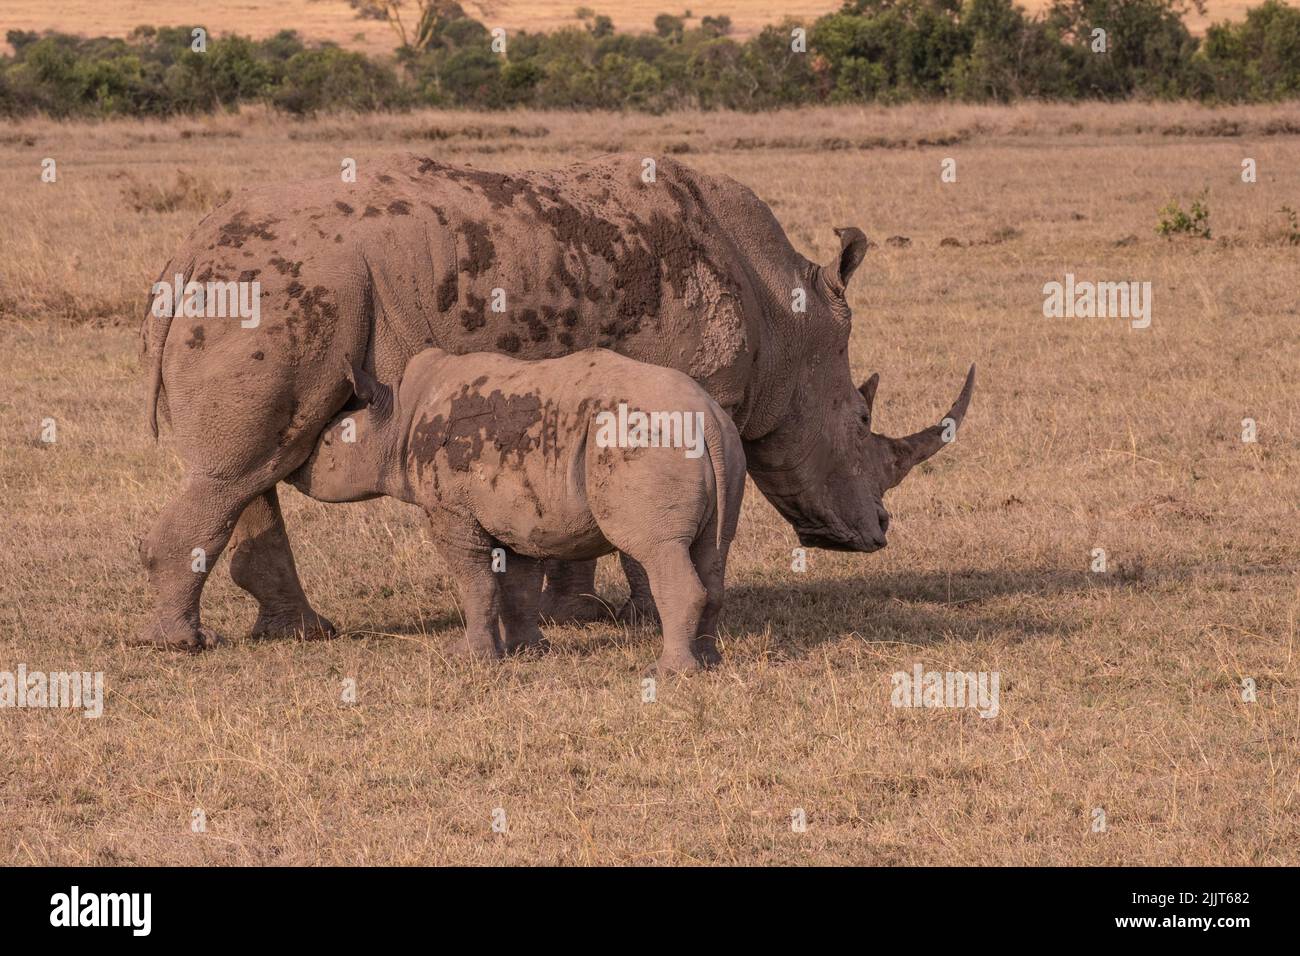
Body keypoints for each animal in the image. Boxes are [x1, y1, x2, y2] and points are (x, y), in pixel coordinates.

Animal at [287, 348, 746, 671]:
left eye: (326, 444)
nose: (297, 473)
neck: (398, 417)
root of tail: (706, 415)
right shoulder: (518, 513)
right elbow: (518, 585)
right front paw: (528, 651)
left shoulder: (453, 512)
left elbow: (475, 581)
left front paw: (467, 657)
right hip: (723, 444)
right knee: (713, 551)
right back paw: (708, 663)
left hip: (646, 441)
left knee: (659, 549)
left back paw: (669, 672)